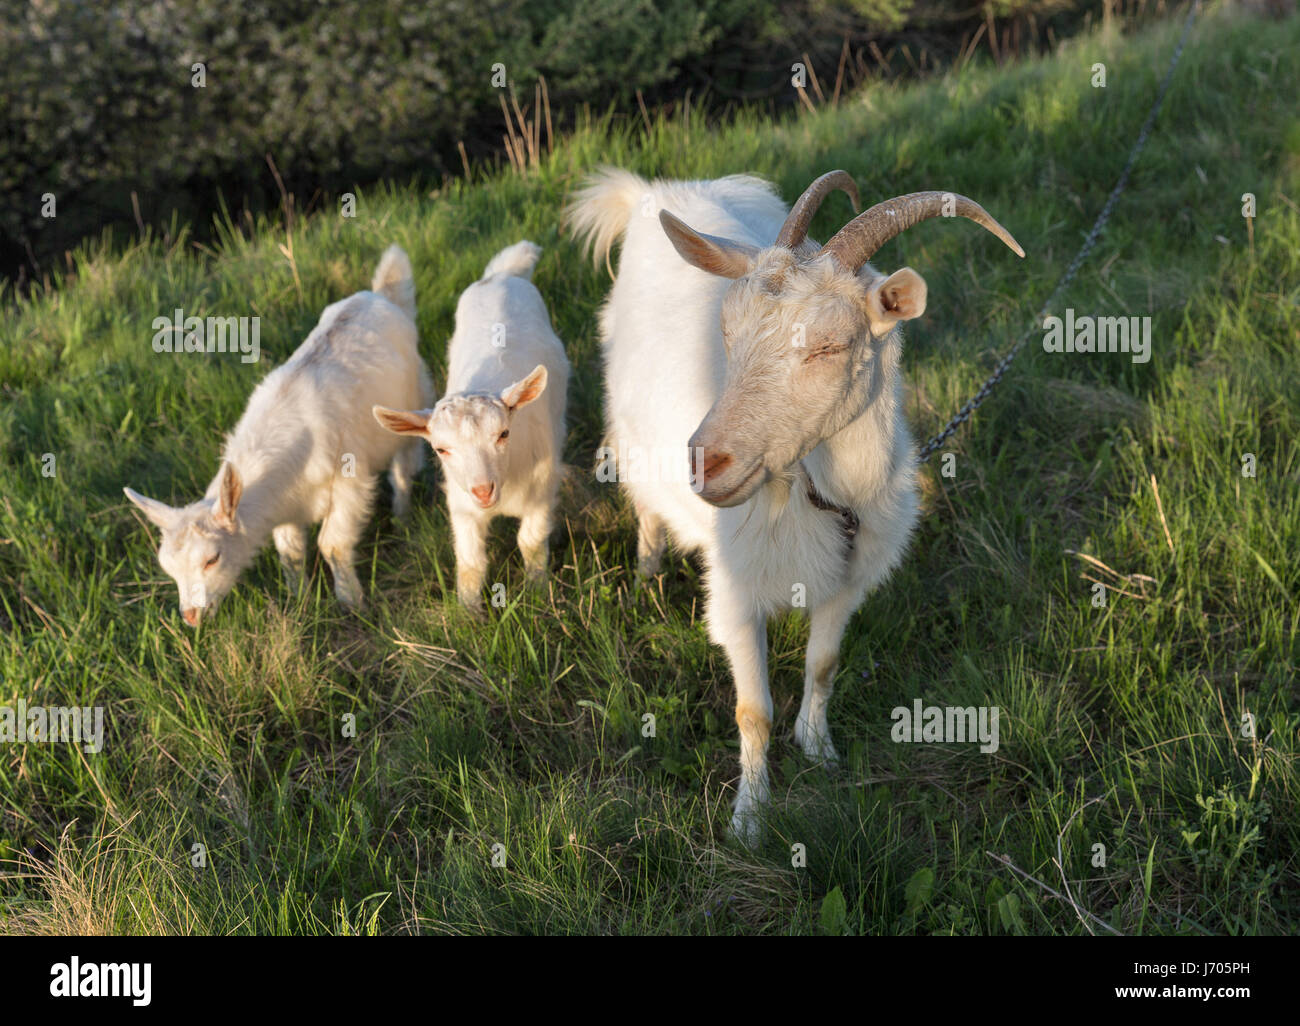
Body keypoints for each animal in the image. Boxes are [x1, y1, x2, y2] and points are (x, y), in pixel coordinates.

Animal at [124, 245, 436, 625]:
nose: (191, 617)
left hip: (413, 403)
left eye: (212, 558)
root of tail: (380, 295)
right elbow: (291, 553)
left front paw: (351, 603)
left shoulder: (349, 484)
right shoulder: (285, 507)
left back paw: (403, 519)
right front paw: (299, 599)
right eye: (168, 567)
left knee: (403, 470)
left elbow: (332, 544)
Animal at [373, 241, 568, 613]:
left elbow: (531, 541)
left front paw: (539, 593)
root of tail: (500, 275)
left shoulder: (541, 492)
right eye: (441, 449)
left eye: (504, 434)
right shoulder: (461, 507)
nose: (482, 491)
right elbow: (471, 560)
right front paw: (469, 611)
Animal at [567, 168, 1022, 842]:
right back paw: (648, 569)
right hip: (626, 428)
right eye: (727, 331)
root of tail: (657, 192)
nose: (706, 462)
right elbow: (752, 711)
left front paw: (819, 749)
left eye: (829, 347)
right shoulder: (734, 596)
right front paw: (750, 818)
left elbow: (825, 665)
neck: (824, 493)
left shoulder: (850, 574)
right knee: (645, 500)